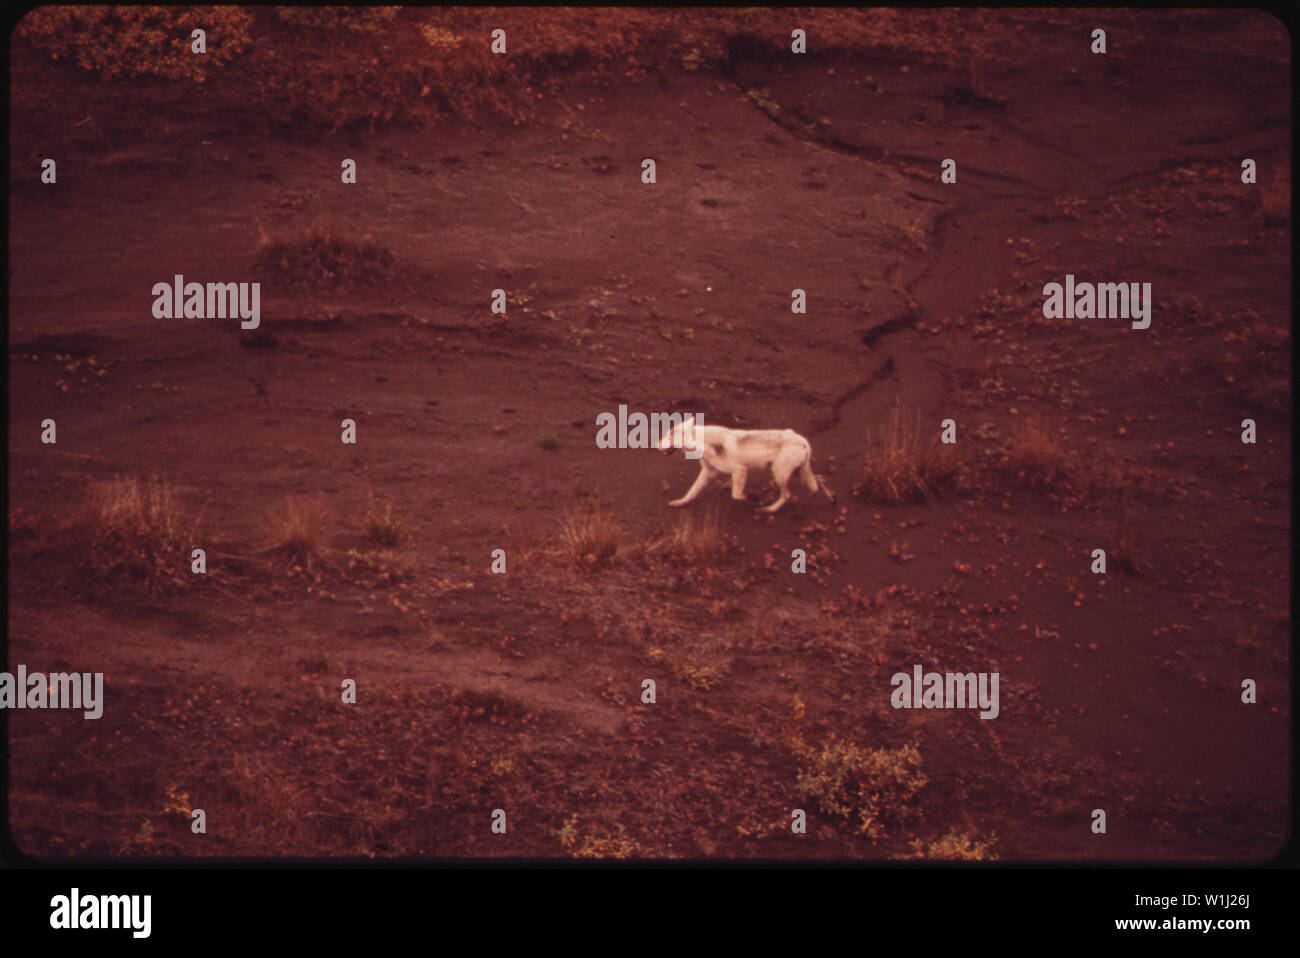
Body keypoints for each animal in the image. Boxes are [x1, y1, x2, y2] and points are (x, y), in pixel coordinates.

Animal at [659, 419, 835, 513]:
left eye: (667, 436)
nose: (656, 444)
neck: (705, 443)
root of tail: (804, 441)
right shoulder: (709, 473)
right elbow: (691, 492)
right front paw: (679, 503)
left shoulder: (739, 470)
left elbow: (736, 495)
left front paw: (750, 497)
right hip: (795, 472)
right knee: (817, 481)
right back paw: (829, 497)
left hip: (779, 473)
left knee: (787, 495)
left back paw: (769, 509)